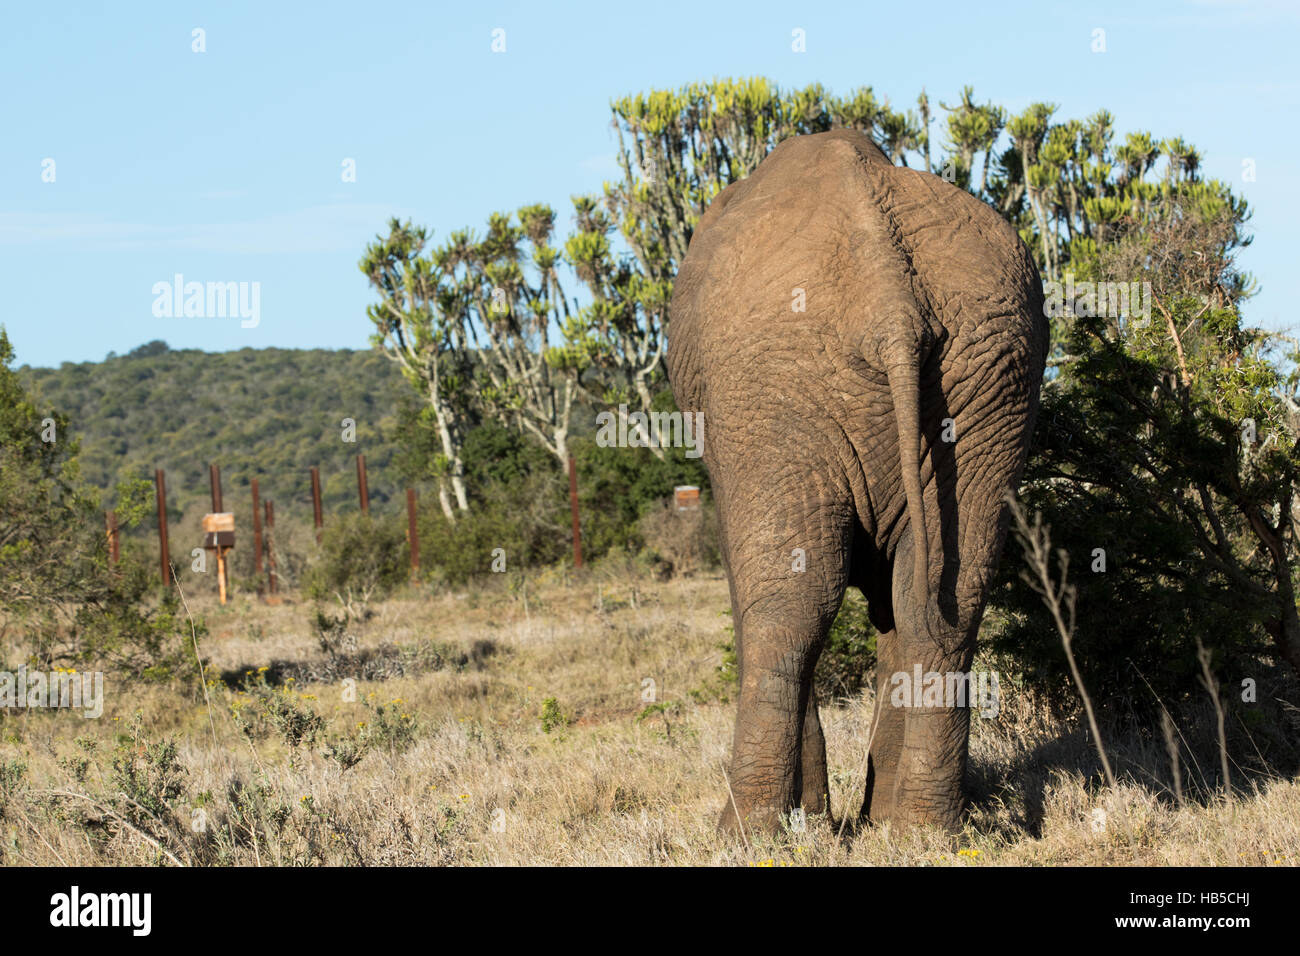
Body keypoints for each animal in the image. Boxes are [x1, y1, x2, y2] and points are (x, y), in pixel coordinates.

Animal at [666, 129, 1048, 834]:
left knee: (791, 601)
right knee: (945, 594)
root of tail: (891, 300)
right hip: (992, 375)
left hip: (776, 384)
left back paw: (744, 833)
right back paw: (923, 830)